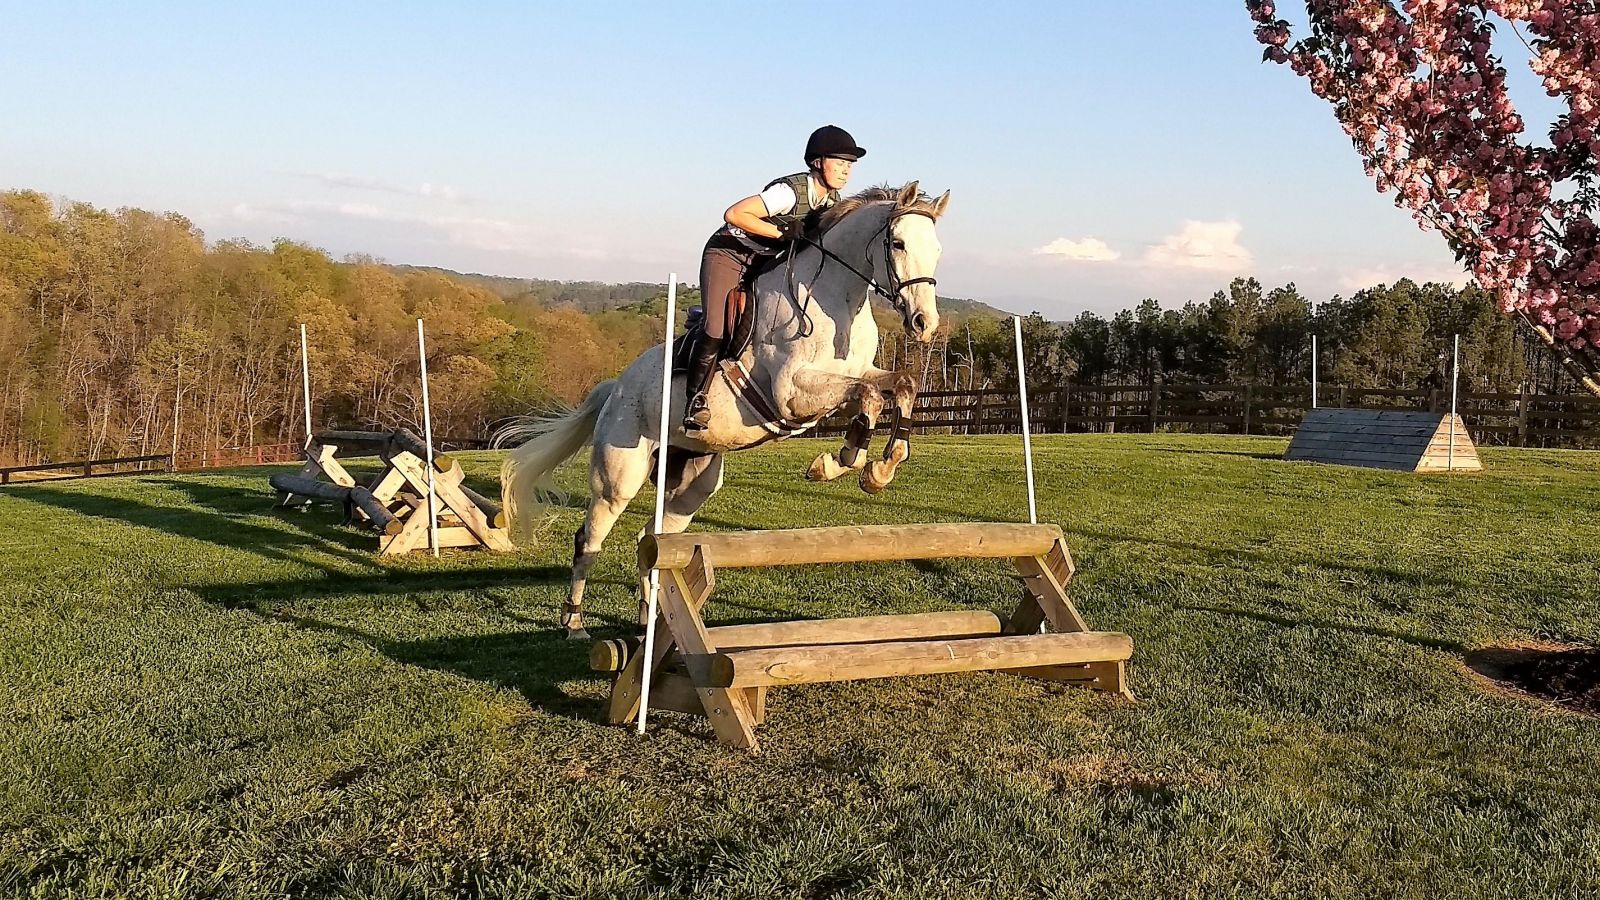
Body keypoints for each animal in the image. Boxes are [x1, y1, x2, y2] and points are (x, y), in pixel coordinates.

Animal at [497, 182, 950, 638]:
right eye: (898, 243)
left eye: (938, 250)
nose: (923, 324)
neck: (834, 298)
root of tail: (615, 387)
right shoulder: (791, 392)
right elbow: (869, 397)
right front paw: (841, 460)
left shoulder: (858, 373)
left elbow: (900, 386)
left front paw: (880, 468)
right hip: (618, 477)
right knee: (589, 540)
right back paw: (574, 622)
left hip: (691, 486)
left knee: (652, 541)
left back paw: (649, 620)